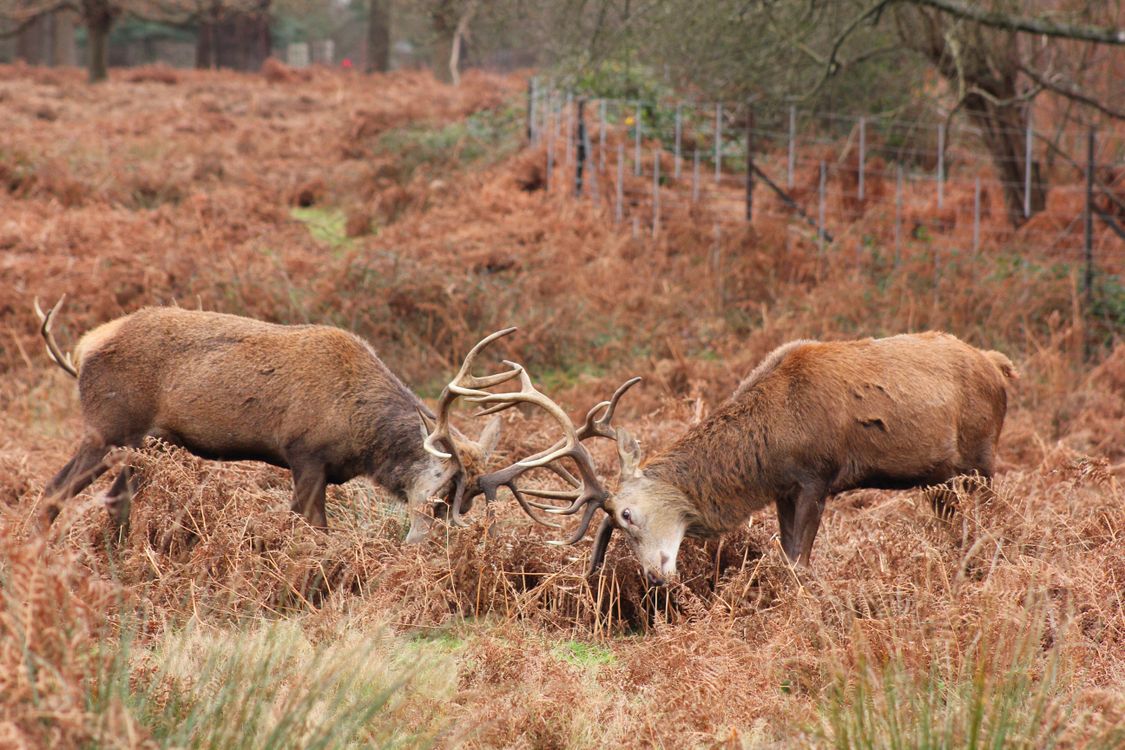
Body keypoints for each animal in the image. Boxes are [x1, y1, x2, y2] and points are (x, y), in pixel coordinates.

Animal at [34, 296, 521, 540]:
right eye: (443, 488)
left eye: (469, 498)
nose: (422, 542)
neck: (360, 436)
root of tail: (83, 347)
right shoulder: (305, 453)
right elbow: (311, 529)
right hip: (108, 428)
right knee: (53, 491)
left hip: (152, 444)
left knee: (116, 501)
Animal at [454, 332, 1018, 586]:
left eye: (627, 514)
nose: (655, 575)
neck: (767, 452)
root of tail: (999, 365)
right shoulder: (785, 490)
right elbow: (787, 552)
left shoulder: (815, 477)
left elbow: (799, 562)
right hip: (943, 479)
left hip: (982, 458)